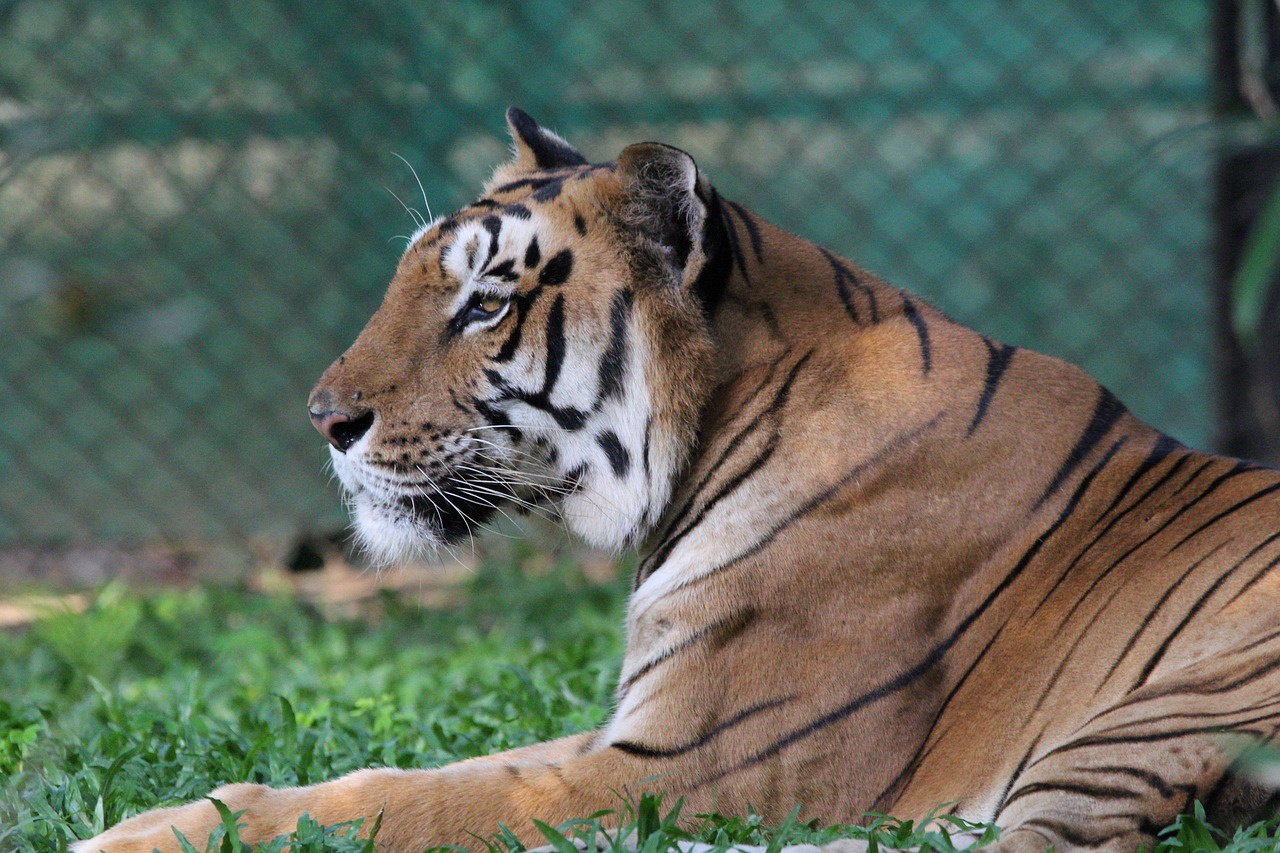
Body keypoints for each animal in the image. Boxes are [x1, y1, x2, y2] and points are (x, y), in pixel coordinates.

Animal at [78, 108, 1280, 853]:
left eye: (484, 303)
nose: (324, 419)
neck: (725, 423)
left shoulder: (692, 761)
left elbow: (405, 801)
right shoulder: (631, 729)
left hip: (1169, 701)